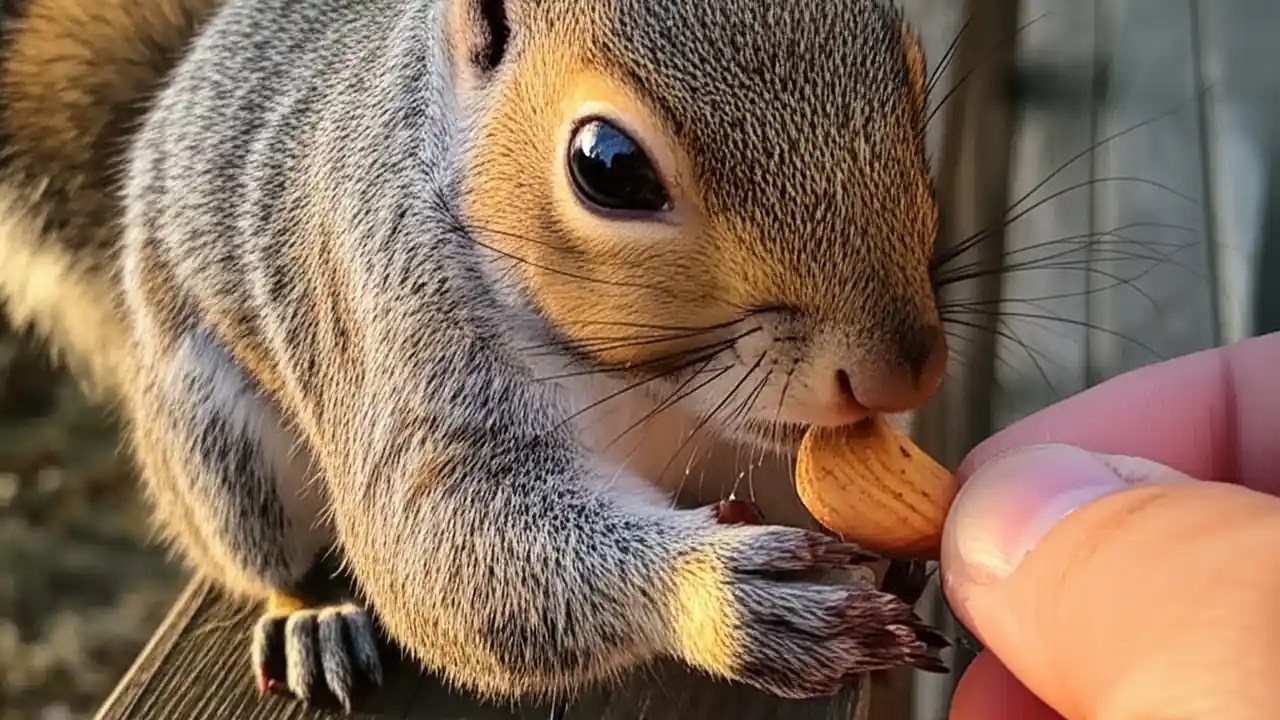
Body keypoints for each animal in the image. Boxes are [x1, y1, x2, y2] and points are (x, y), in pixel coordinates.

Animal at [0, 0, 951, 710]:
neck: (650, 390)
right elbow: (437, 546)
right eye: (608, 166)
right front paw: (736, 598)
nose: (899, 373)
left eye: (909, 74)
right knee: (256, 545)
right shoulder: (401, 336)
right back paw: (314, 614)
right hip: (217, 443)